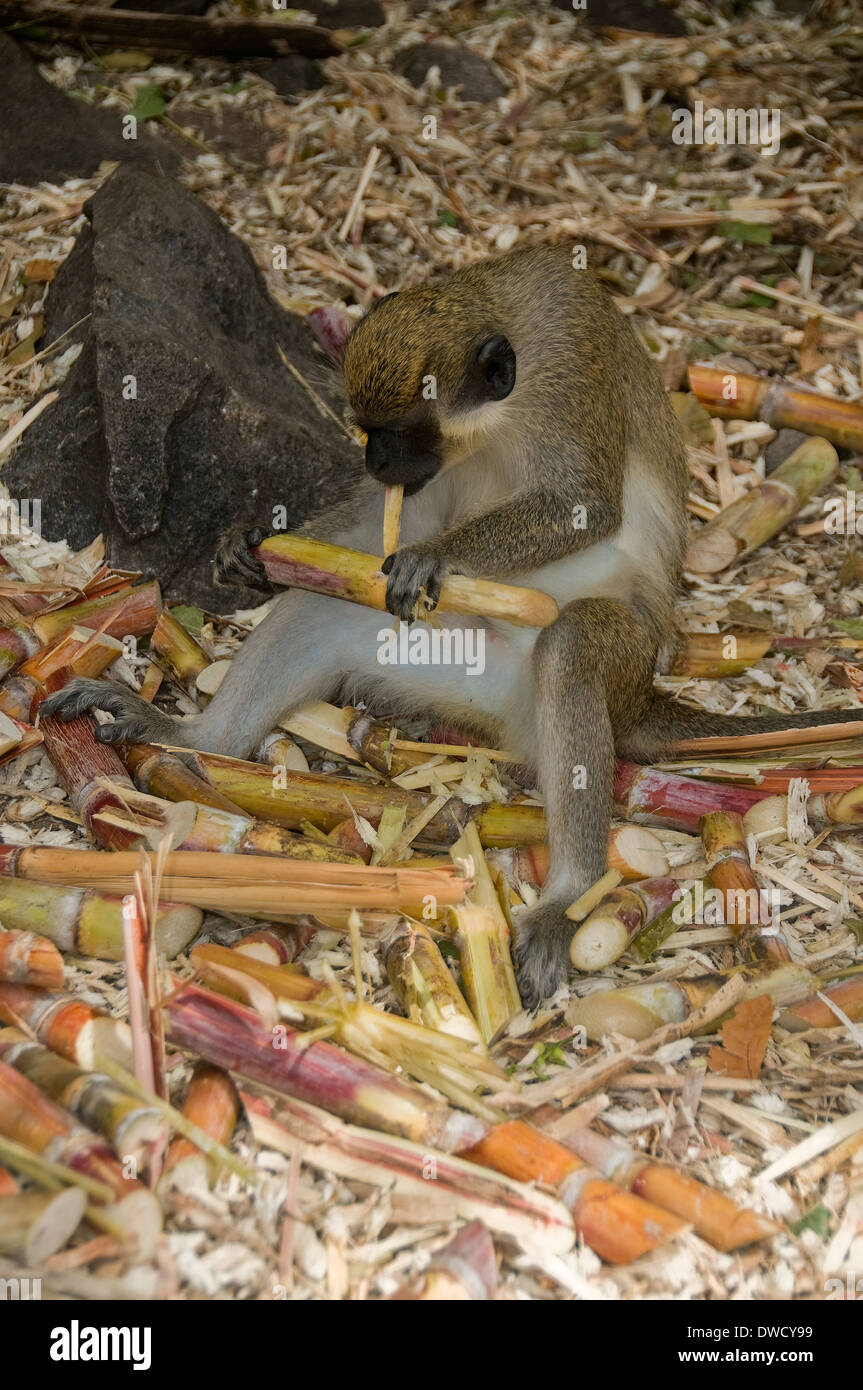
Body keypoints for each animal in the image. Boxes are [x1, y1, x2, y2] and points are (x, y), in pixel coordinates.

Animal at [42, 244, 863, 1007]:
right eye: (366, 431)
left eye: (402, 431)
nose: (377, 460)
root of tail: (638, 700)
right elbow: (377, 530)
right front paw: (254, 547)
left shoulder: (568, 379)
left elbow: (582, 509)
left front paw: (435, 557)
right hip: (452, 670)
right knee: (326, 606)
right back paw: (198, 737)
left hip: (615, 666)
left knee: (572, 649)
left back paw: (571, 892)